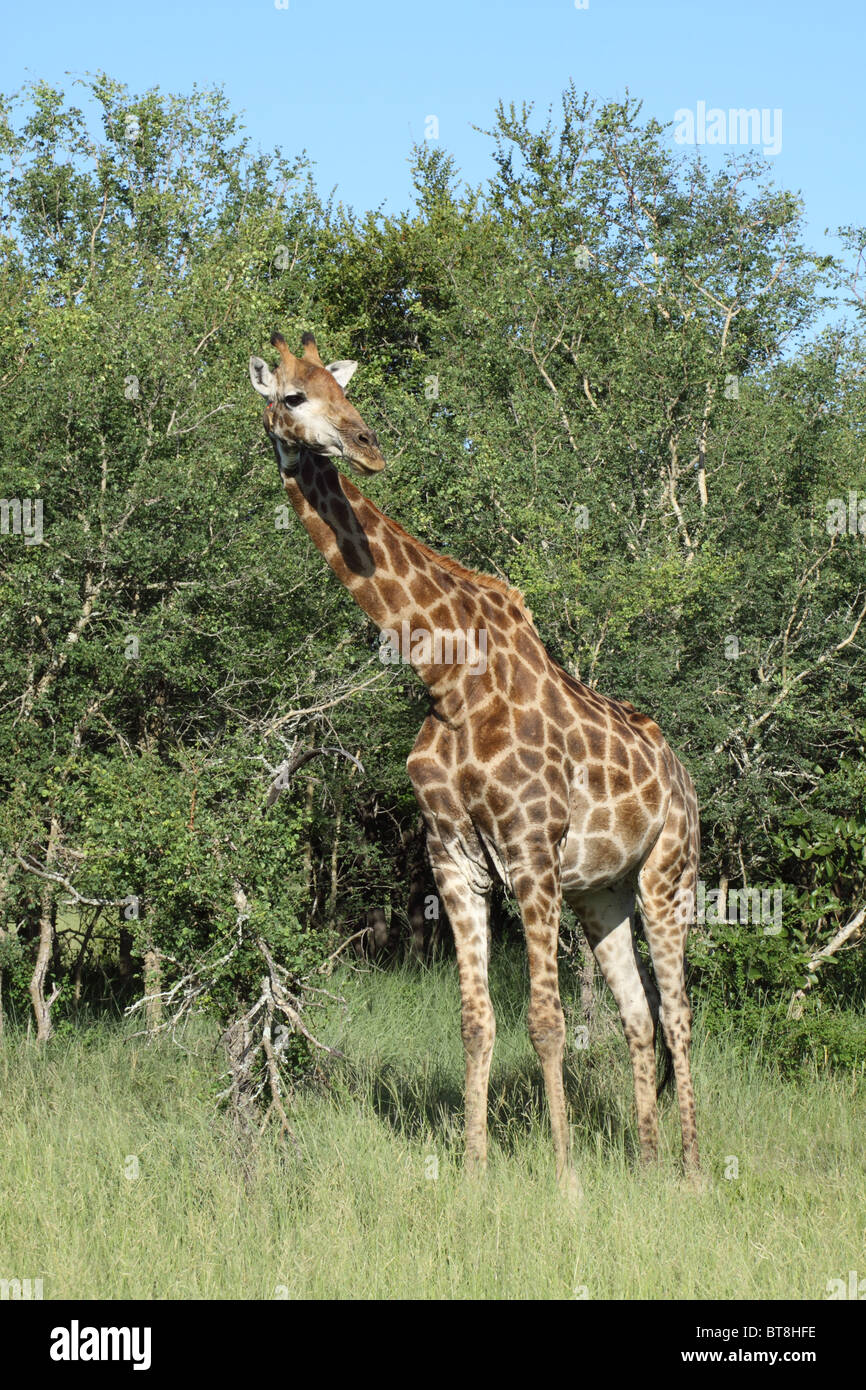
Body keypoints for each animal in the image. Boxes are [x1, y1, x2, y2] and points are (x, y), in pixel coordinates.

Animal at [249, 331, 701, 1185]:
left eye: (343, 389)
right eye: (293, 396)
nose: (368, 446)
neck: (447, 673)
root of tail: (685, 780)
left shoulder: (528, 849)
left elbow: (547, 1022)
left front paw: (564, 1182)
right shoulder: (453, 855)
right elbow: (475, 1020)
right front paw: (473, 1170)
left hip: (670, 874)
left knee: (680, 1011)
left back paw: (692, 1173)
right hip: (603, 893)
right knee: (638, 1014)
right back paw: (649, 1162)